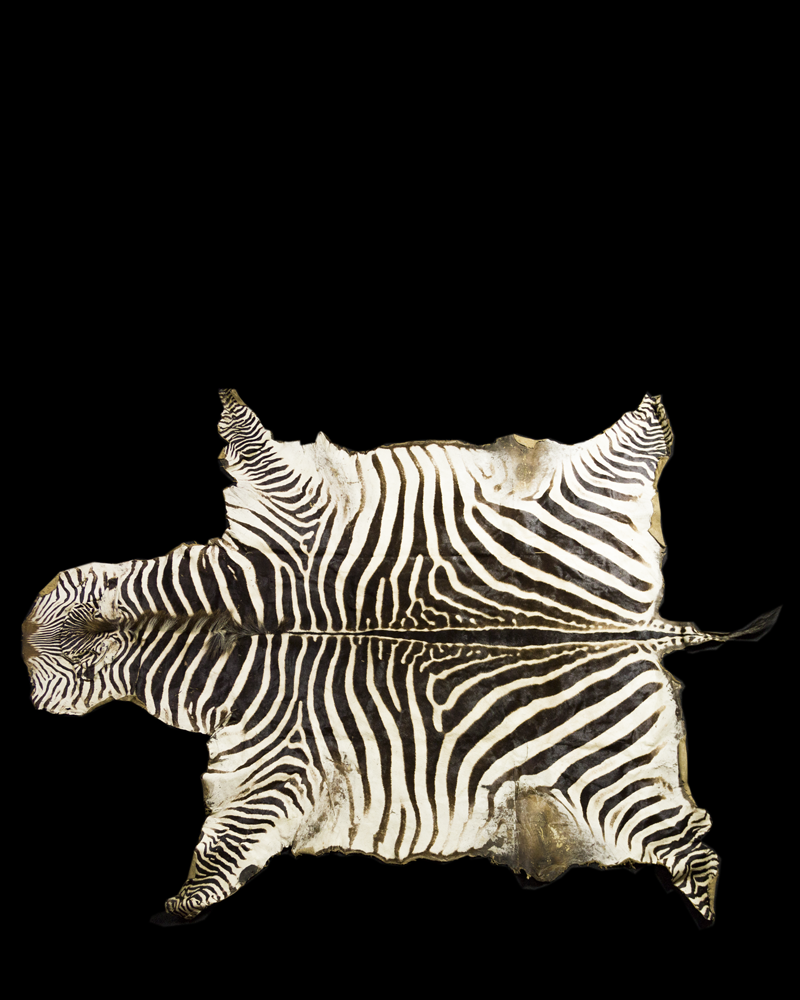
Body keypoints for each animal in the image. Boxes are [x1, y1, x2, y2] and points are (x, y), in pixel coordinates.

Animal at [21, 389, 778, 923]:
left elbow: (254, 445)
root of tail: (640, 628)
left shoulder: (279, 772)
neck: (222, 625)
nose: (29, 636)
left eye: (71, 667)